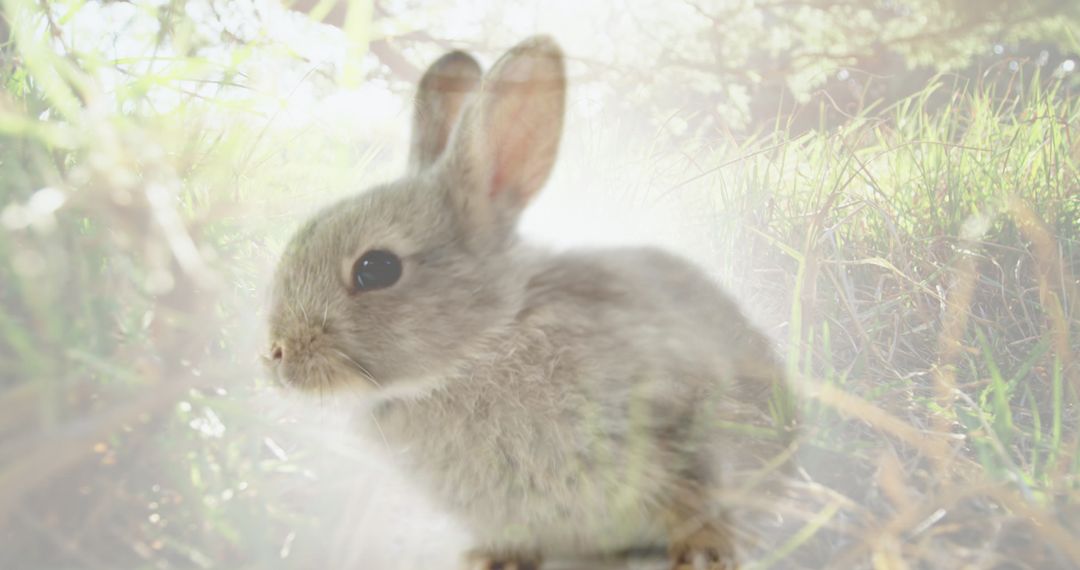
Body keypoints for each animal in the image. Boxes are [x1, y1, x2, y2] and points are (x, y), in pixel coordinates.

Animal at [266, 36, 796, 570]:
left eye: (376, 268)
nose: (278, 355)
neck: (485, 346)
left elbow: (698, 495)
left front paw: (704, 553)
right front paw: (490, 561)